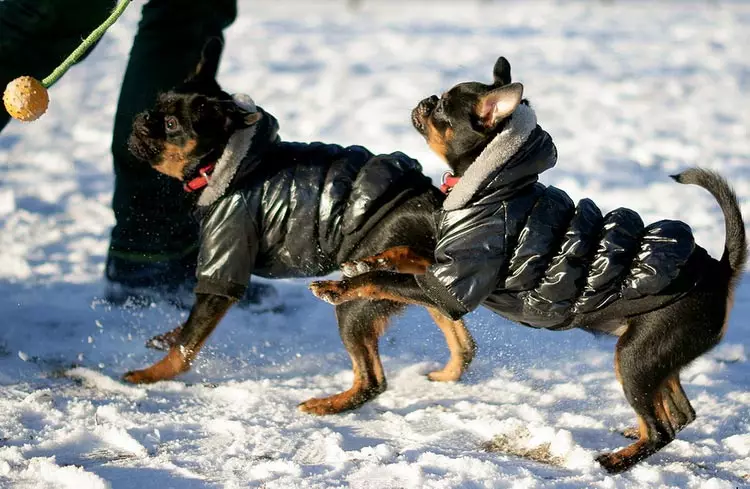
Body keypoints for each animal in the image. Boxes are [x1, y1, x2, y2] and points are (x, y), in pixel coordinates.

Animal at [122, 40, 476, 414]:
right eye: (156, 105)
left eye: (171, 124)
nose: (143, 119)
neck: (228, 164)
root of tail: (439, 206)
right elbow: (188, 328)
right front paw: (167, 338)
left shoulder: (224, 262)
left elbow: (189, 343)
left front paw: (150, 375)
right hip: (420, 282)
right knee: (461, 338)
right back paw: (446, 373)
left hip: (357, 298)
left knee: (373, 381)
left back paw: (327, 404)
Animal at [310, 55, 748, 470]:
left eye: (443, 109)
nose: (427, 99)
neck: (489, 186)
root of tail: (722, 270)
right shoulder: (440, 271)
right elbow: (402, 257)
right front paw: (372, 258)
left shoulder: (447, 289)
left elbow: (383, 280)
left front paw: (338, 286)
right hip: (655, 356)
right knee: (681, 413)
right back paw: (637, 435)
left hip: (636, 357)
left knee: (662, 428)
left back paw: (618, 461)